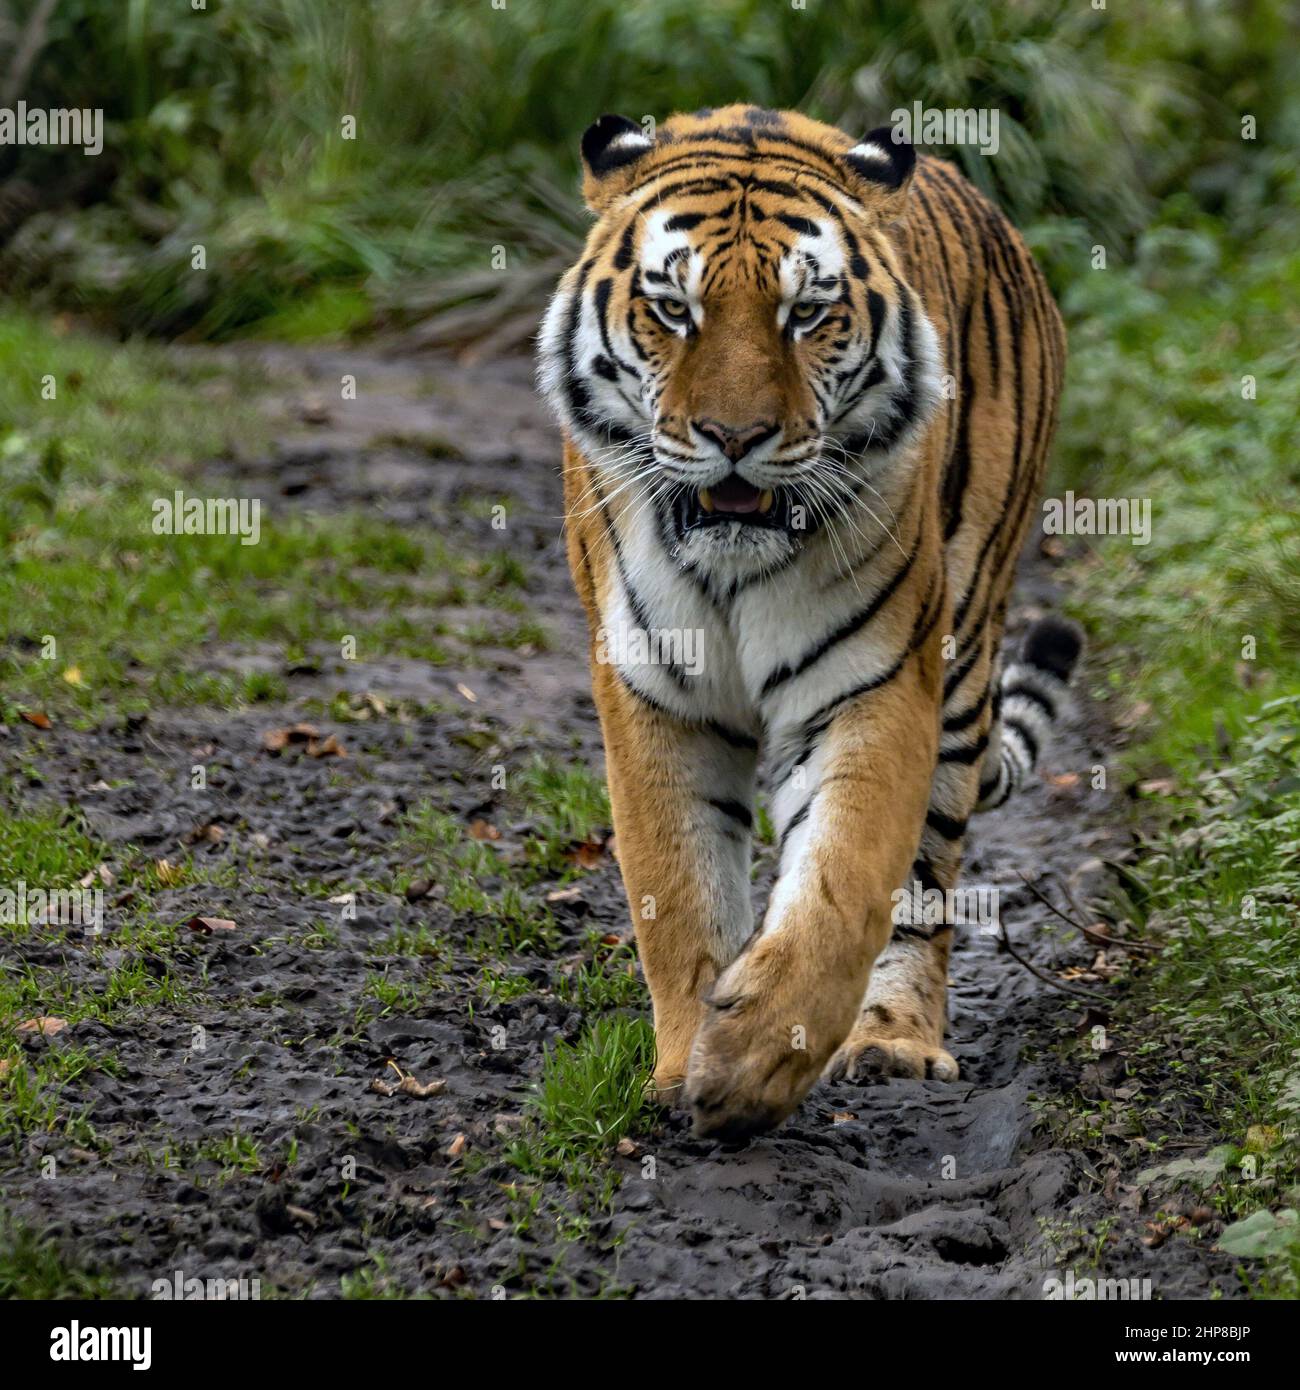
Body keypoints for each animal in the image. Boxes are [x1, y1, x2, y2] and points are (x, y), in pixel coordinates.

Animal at [538, 104, 1079, 1142]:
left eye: (806, 314)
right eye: (675, 310)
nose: (734, 437)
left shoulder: (871, 687)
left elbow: (843, 886)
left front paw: (752, 1063)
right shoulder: (656, 696)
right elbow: (679, 892)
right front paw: (685, 1066)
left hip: (962, 664)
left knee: (923, 884)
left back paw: (892, 1041)